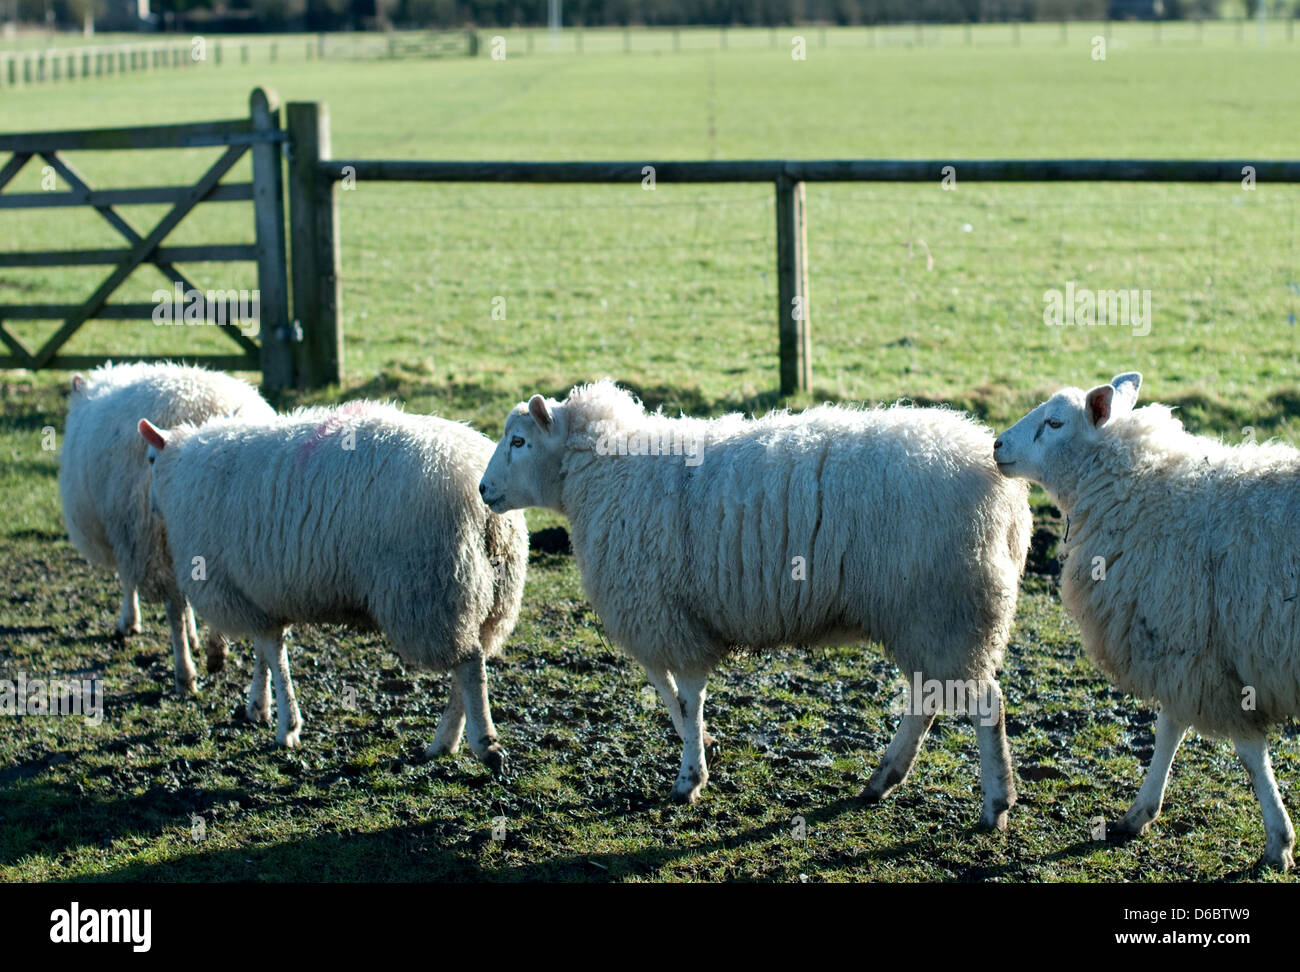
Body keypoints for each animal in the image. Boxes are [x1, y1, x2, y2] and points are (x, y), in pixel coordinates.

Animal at [60, 362, 274, 694]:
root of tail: (206, 408)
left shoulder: (128, 529)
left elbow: (128, 581)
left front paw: (128, 622)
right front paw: (195, 635)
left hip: (156, 533)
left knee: (172, 607)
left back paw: (185, 673)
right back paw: (215, 652)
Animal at [138, 401, 528, 772]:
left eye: (150, 459)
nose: (151, 506)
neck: (181, 474)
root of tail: (479, 494)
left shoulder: (242, 589)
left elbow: (273, 654)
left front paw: (286, 727)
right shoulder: (261, 593)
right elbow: (265, 652)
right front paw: (259, 706)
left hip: (430, 590)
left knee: (469, 666)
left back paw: (482, 744)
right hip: (487, 597)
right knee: (472, 661)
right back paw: (445, 741)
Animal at [480, 380, 1031, 826]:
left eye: (519, 441)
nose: (484, 490)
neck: (604, 474)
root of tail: (1005, 499)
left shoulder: (665, 614)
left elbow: (685, 695)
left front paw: (689, 778)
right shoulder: (670, 618)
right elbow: (670, 693)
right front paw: (702, 748)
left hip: (944, 610)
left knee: (984, 705)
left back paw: (994, 806)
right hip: (930, 617)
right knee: (928, 700)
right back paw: (882, 780)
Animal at [994, 372, 1300, 870]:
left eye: (1055, 422)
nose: (996, 444)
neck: (1145, 495)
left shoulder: (1198, 652)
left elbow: (1245, 751)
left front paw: (1278, 841)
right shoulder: (1183, 649)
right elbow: (1169, 729)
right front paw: (1139, 813)